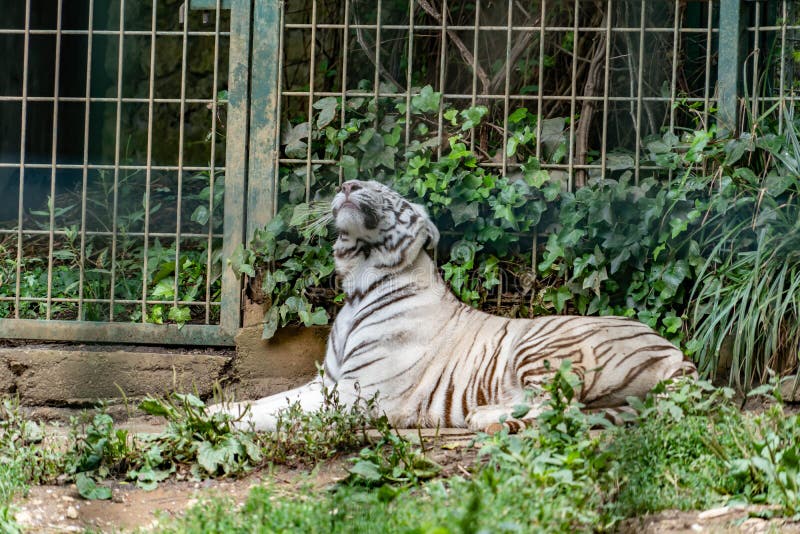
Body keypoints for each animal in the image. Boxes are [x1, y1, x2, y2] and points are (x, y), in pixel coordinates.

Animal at [217, 179, 697, 432]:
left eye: (386, 193)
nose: (348, 184)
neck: (359, 282)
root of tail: (674, 352)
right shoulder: (328, 381)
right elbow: (267, 400)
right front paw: (210, 409)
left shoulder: (357, 394)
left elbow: (276, 411)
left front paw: (217, 421)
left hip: (546, 347)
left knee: (557, 405)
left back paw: (485, 417)